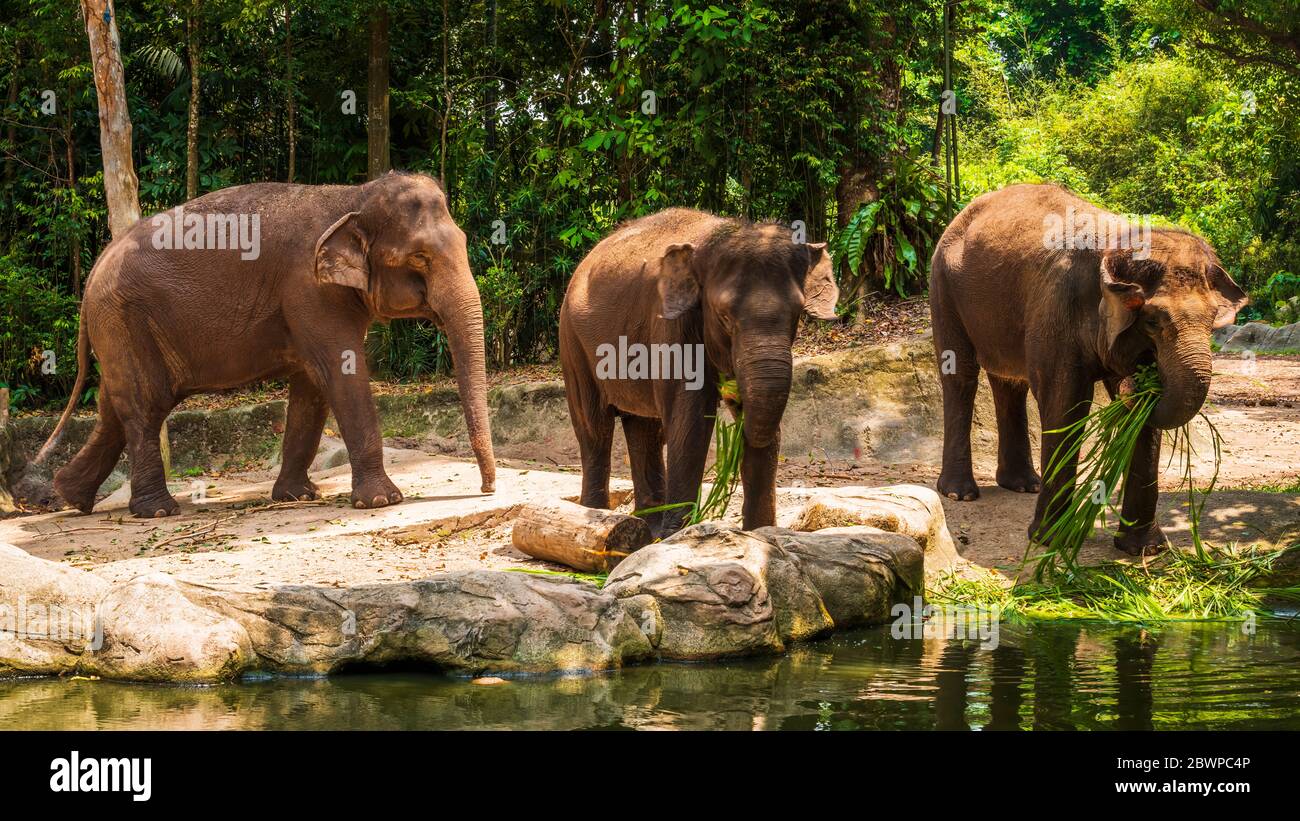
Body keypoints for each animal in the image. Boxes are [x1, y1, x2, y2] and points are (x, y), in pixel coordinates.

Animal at [36, 171, 496, 518]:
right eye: (419, 258)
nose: (487, 489)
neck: (352, 195)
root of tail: (95, 270)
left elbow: (312, 389)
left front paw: (297, 496)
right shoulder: (309, 290)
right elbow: (341, 373)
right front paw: (382, 501)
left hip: (119, 330)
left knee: (114, 410)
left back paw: (69, 497)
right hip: (125, 322)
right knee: (145, 406)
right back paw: (158, 511)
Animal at [559, 207, 839, 535]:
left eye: (797, 314)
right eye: (725, 316)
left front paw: (760, 534)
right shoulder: (671, 324)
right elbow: (688, 419)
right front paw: (677, 535)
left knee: (644, 427)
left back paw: (649, 526)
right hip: (573, 341)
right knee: (595, 427)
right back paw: (596, 516)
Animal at [929, 183, 1247, 554]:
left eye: (1212, 321)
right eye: (1153, 322)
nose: (1136, 382)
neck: (1121, 242)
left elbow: (1142, 423)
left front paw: (1144, 549)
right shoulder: (1056, 309)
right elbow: (1064, 405)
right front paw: (1050, 541)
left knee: (1009, 383)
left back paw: (1023, 485)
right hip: (943, 285)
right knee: (960, 375)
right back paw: (959, 493)